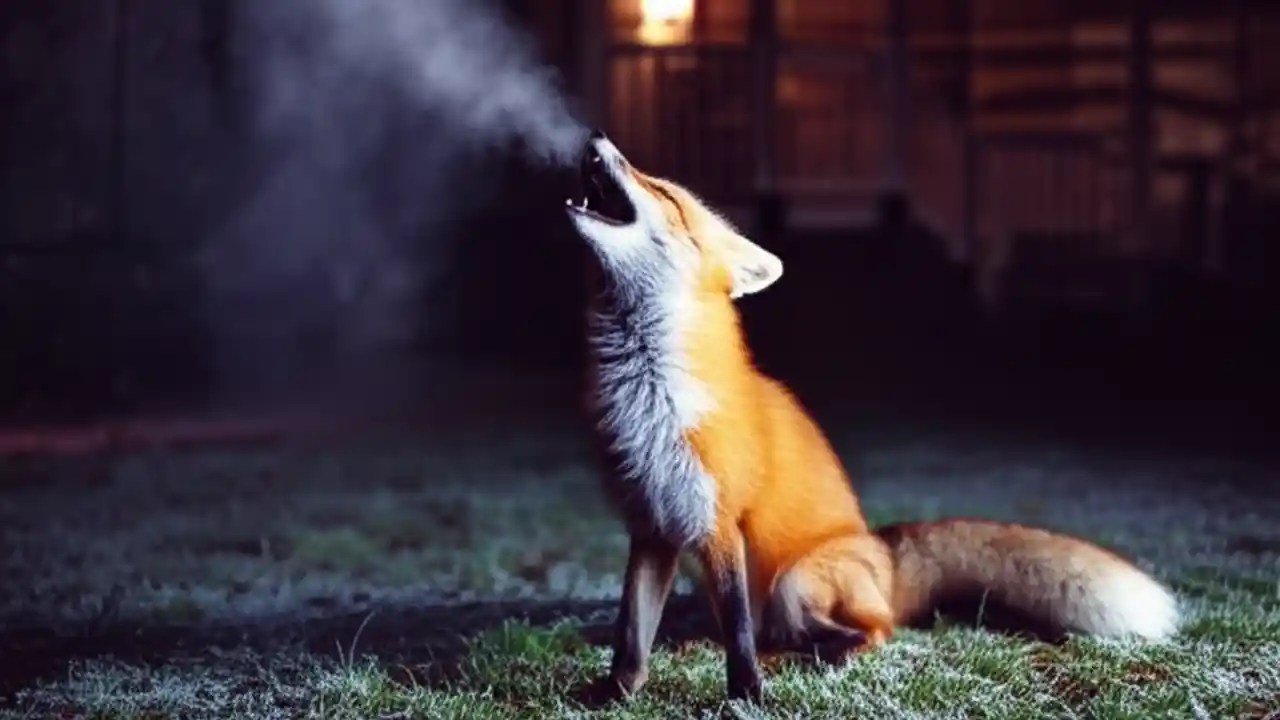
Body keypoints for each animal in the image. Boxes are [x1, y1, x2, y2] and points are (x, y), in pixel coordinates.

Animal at [562, 130, 1180, 703]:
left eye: (662, 190)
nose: (594, 138)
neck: (649, 392)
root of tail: (881, 553)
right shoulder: (652, 527)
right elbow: (631, 636)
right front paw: (615, 695)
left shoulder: (718, 525)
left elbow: (736, 636)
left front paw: (747, 698)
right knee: (775, 635)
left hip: (795, 582)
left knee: (870, 632)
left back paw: (815, 658)